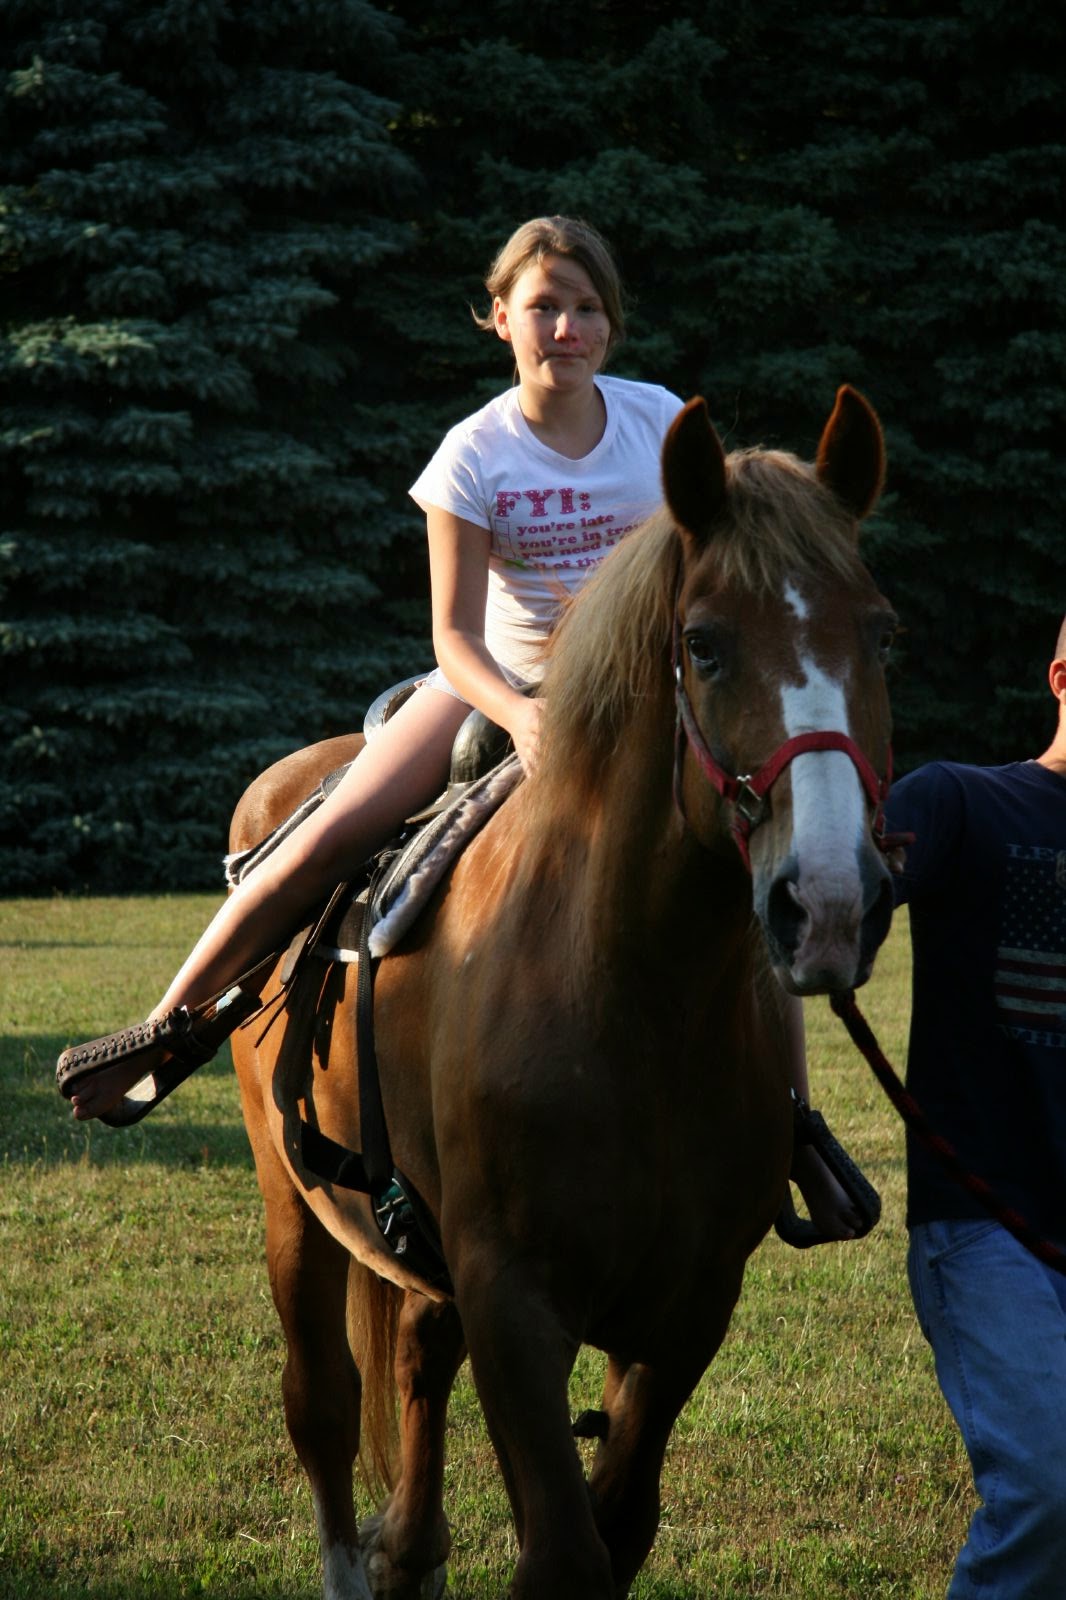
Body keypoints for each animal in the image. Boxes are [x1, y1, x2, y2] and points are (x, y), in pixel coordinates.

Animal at [229, 385, 897, 1600]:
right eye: (703, 644)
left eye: (881, 634)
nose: (827, 900)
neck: (627, 999)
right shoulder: (514, 1303)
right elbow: (562, 1550)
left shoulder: (686, 1307)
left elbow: (618, 1525)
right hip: (288, 1198)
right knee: (323, 1405)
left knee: (414, 1358)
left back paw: (411, 1550)